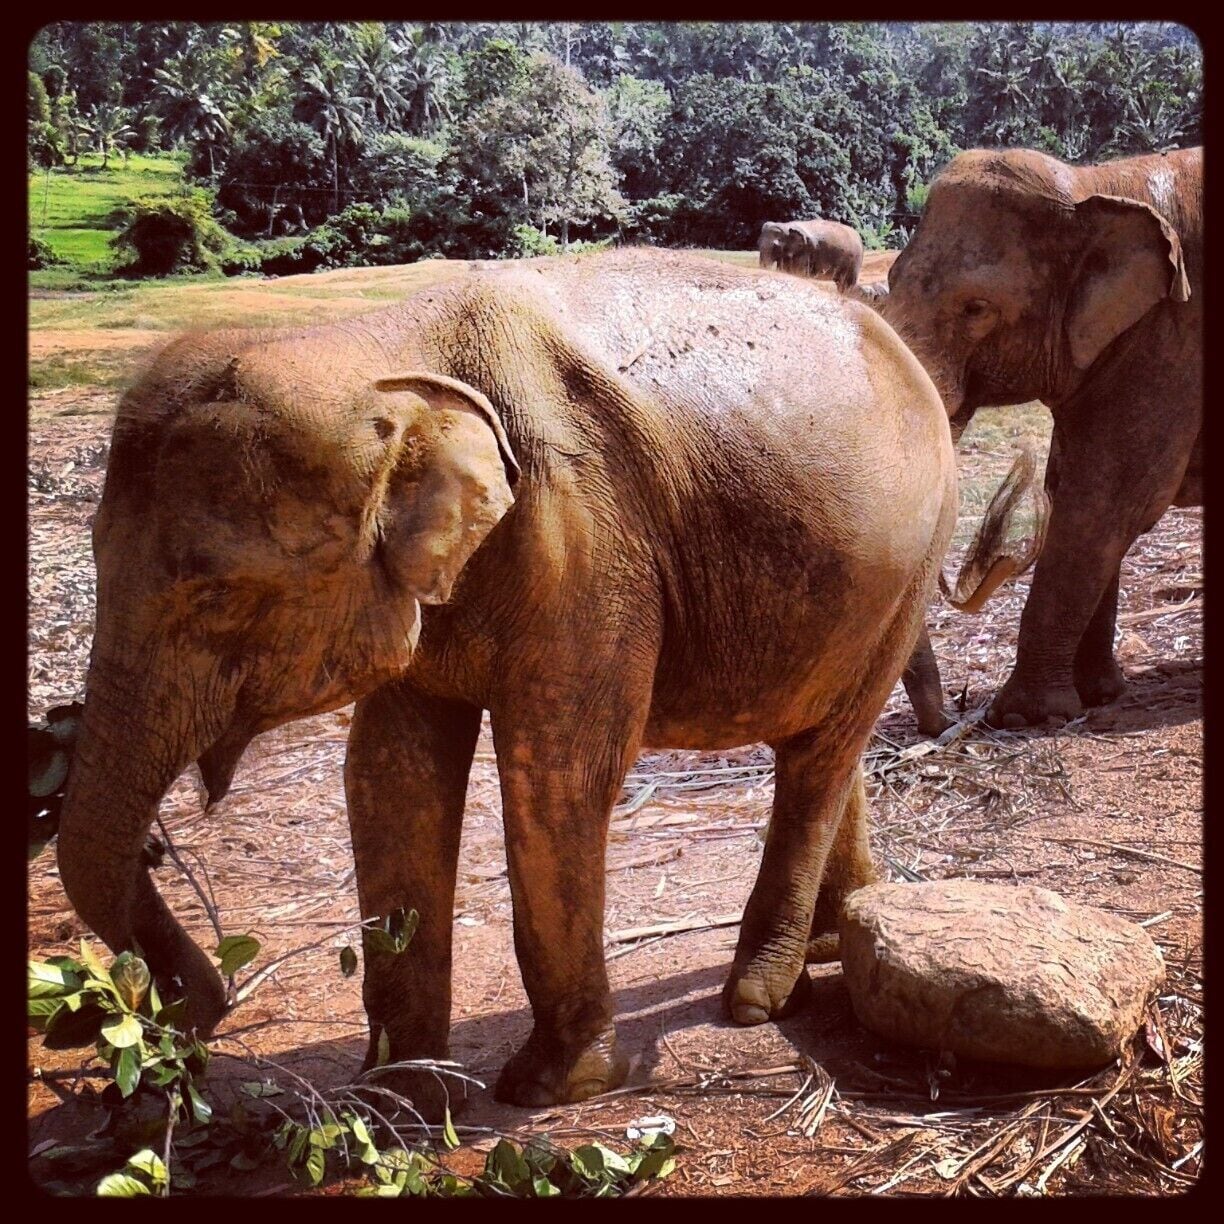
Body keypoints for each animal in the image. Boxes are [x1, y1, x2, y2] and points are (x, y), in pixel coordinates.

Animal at [55, 247, 959, 1117]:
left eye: (216, 594)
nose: (197, 1009)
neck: (388, 350)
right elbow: (390, 773)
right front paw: (397, 1098)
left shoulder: (583, 543)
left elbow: (556, 775)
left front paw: (552, 1088)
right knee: (824, 739)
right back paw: (830, 944)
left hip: (913, 561)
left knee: (819, 753)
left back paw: (759, 999)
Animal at [884, 146, 1202, 727]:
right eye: (891, 281)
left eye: (976, 308)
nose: (946, 722)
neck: (1098, 183)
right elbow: (1076, 493)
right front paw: (1098, 695)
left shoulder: (1173, 340)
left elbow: (1105, 502)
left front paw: (1021, 716)